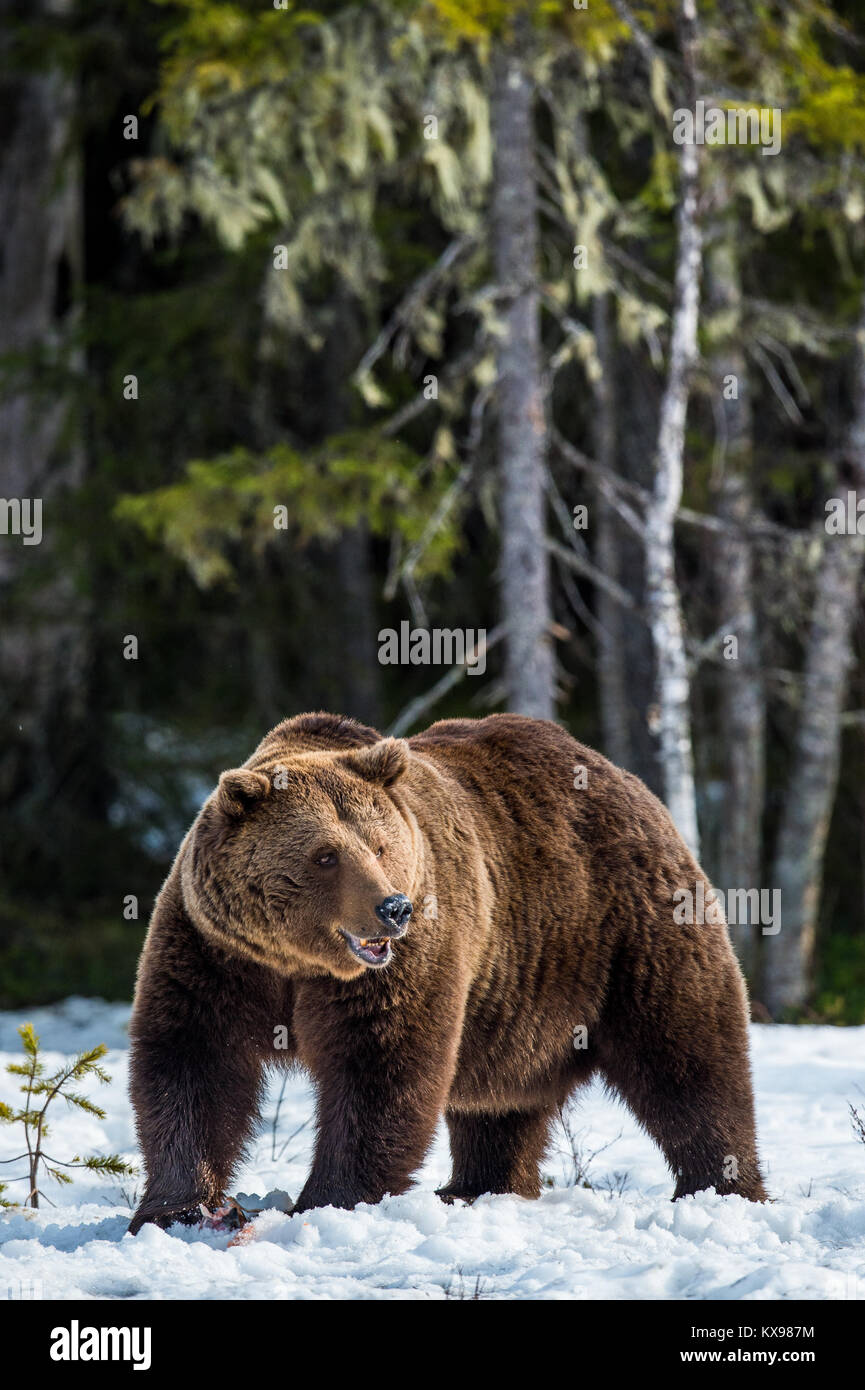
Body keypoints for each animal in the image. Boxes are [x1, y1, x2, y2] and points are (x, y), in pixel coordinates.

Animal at [128, 710, 766, 1233]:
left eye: (380, 846)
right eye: (325, 854)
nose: (392, 908)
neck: (296, 960)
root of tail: (626, 780)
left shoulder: (404, 960)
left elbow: (380, 1066)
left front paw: (328, 1200)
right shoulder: (216, 953)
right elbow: (194, 1060)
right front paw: (181, 1208)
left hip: (625, 934)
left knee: (689, 1056)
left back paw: (724, 1188)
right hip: (518, 996)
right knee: (501, 1102)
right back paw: (477, 1187)